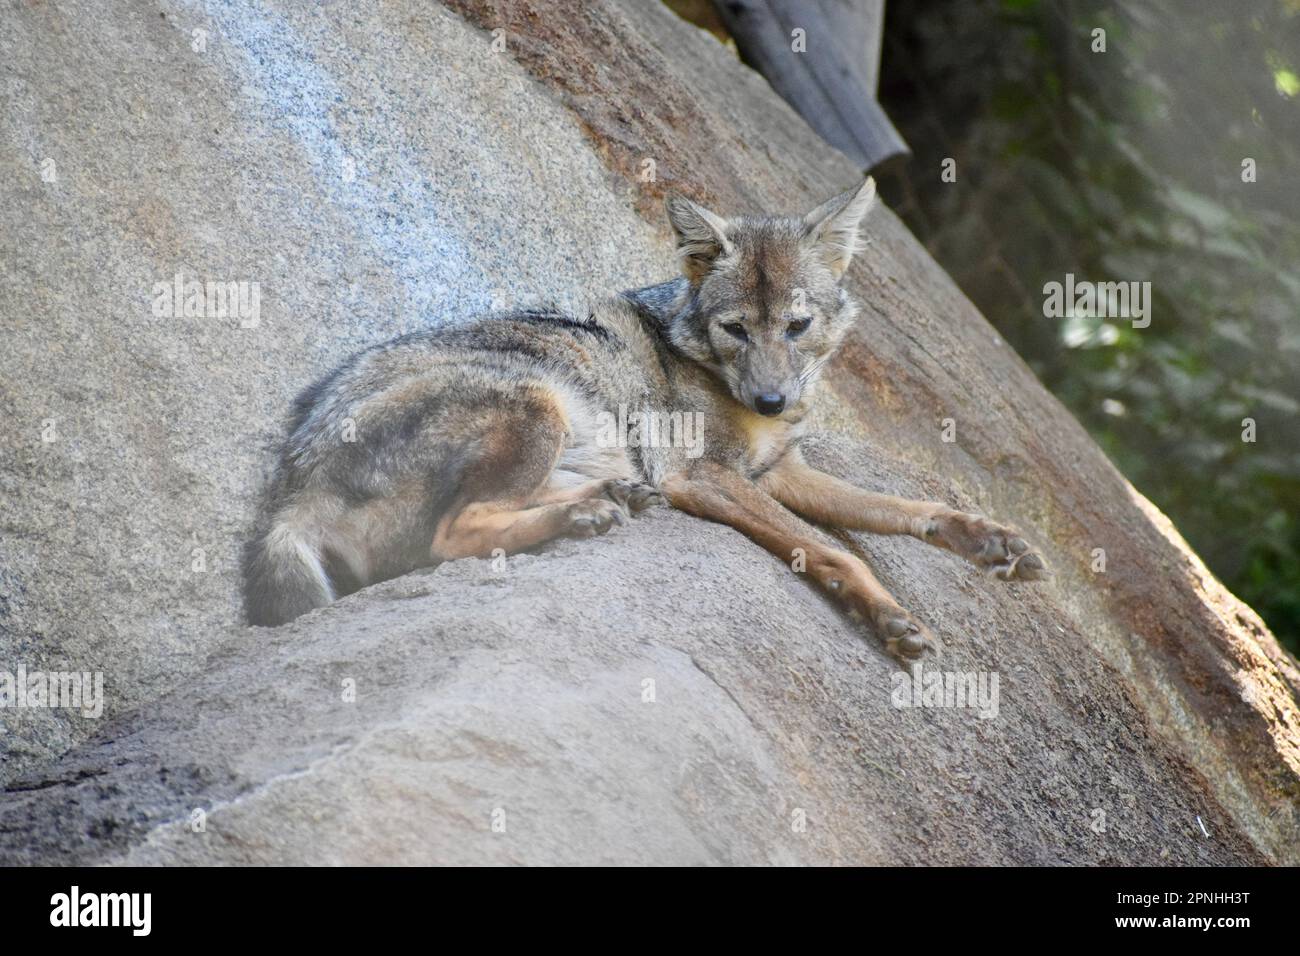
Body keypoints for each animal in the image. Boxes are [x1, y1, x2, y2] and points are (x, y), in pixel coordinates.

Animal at [244, 178, 1046, 659]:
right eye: (735, 331)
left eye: (797, 326)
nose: (772, 402)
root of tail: (289, 490)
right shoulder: (704, 475)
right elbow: (838, 550)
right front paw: (891, 619)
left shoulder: (777, 470)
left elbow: (906, 508)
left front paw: (991, 540)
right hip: (538, 404)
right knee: (452, 534)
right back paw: (583, 515)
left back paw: (608, 498)